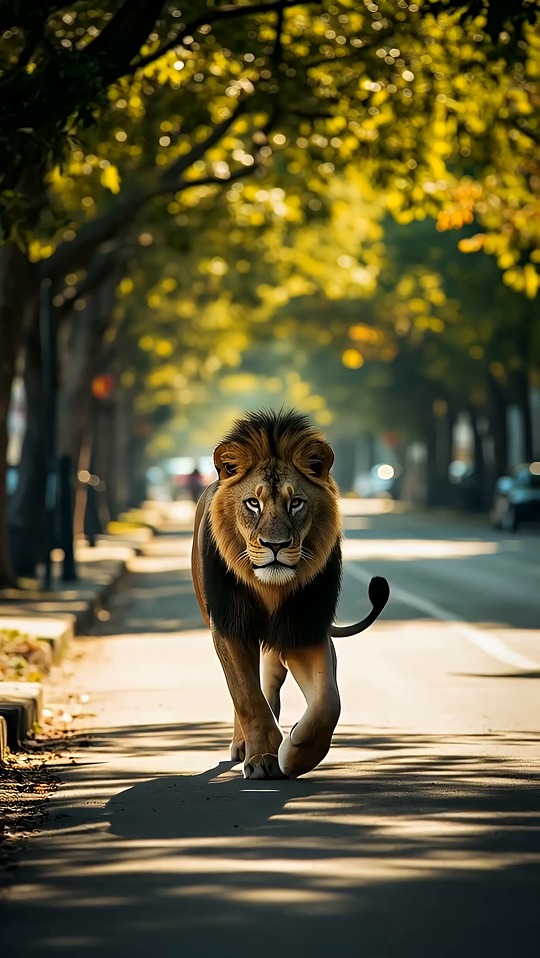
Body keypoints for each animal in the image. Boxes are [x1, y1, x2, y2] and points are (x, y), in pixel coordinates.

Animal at [191, 409, 389, 779]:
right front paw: (262, 757)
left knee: (272, 678)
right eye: (253, 503)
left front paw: (295, 749)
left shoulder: (304, 628)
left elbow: (328, 703)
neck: (271, 588)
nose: (276, 545)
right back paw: (243, 746)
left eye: (295, 502)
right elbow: (246, 696)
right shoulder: (228, 626)